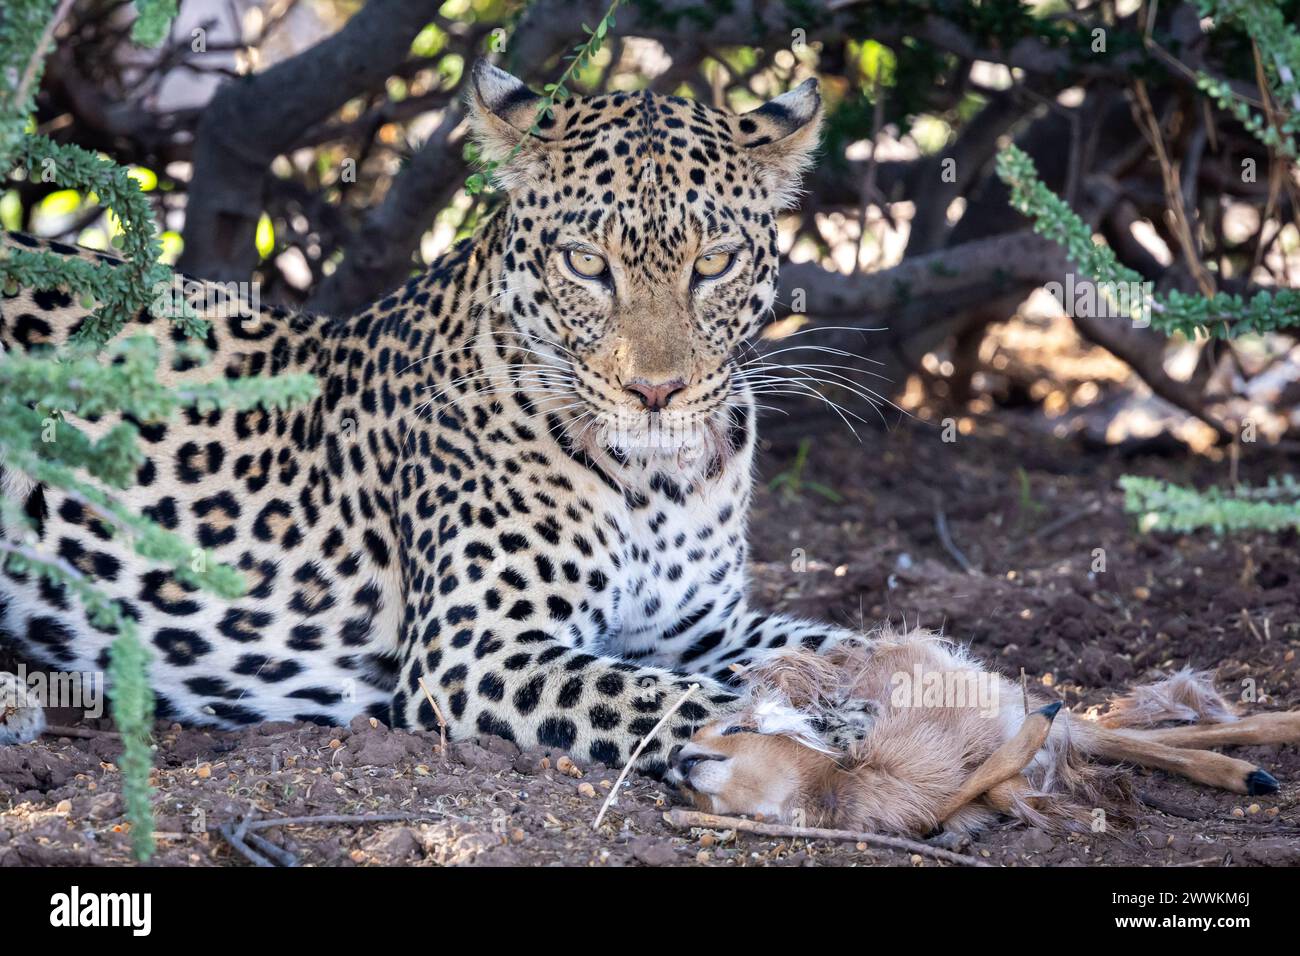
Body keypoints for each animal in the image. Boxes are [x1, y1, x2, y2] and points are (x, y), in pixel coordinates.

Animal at [0, 61, 866, 773]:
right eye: (587, 264)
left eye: (713, 263)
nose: (656, 392)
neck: (658, 480)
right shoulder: (478, 652)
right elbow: (673, 697)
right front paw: (825, 724)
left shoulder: (697, 630)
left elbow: (840, 639)